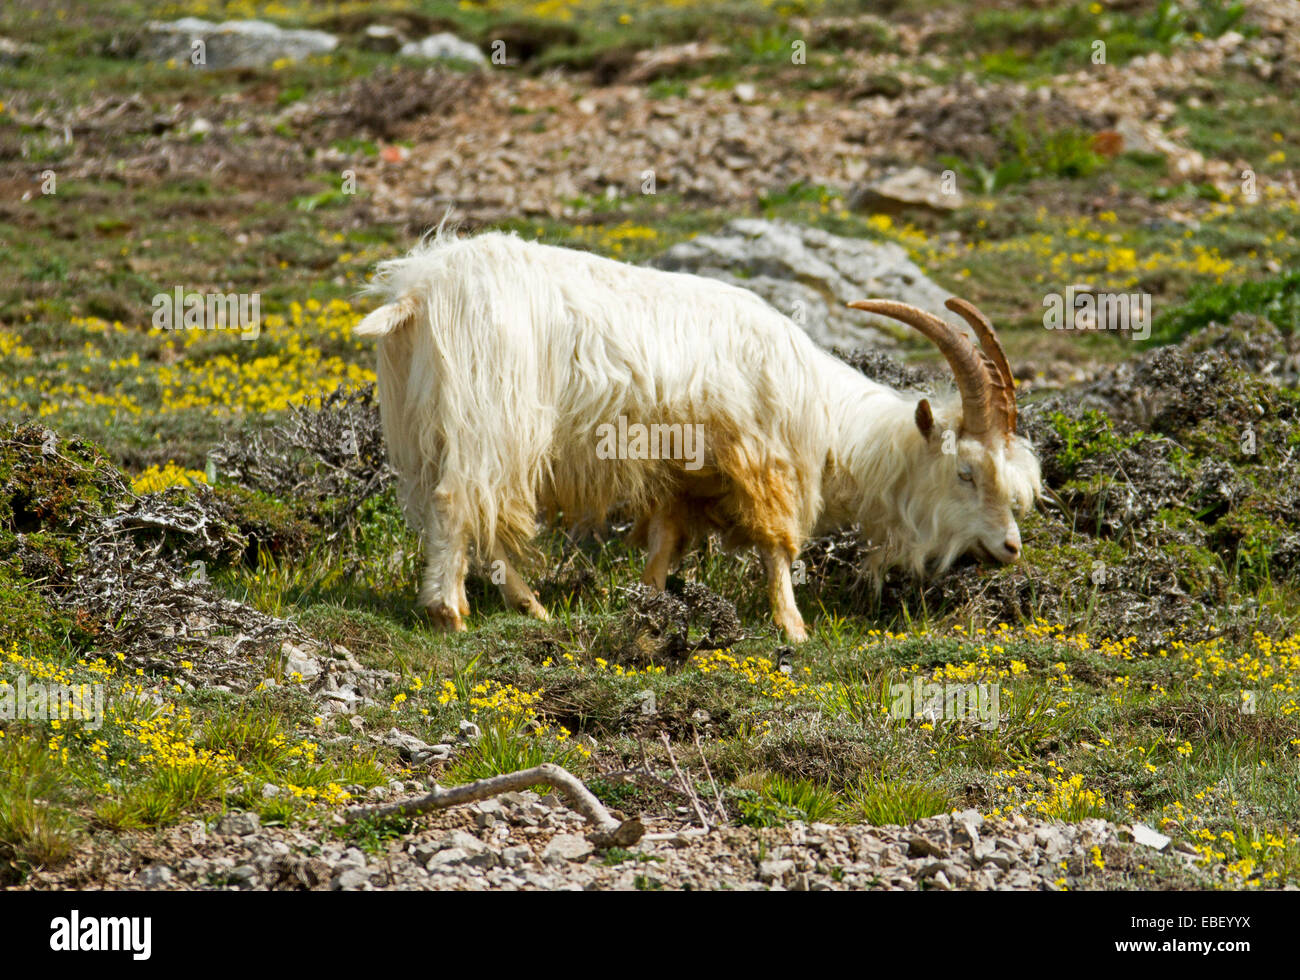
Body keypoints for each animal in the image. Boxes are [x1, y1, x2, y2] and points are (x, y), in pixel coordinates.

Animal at [355, 229, 1041, 640]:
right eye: (966, 472)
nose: (1009, 548)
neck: (820, 408)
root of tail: (419, 289)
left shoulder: (681, 481)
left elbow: (664, 547)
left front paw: (651, 605)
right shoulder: (765, 461)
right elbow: (778, 549)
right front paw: (794, 628)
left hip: (431, 426)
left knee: (475, 512)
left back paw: (531, 606)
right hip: (490, 414)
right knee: (459, 503)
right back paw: (450, 612)